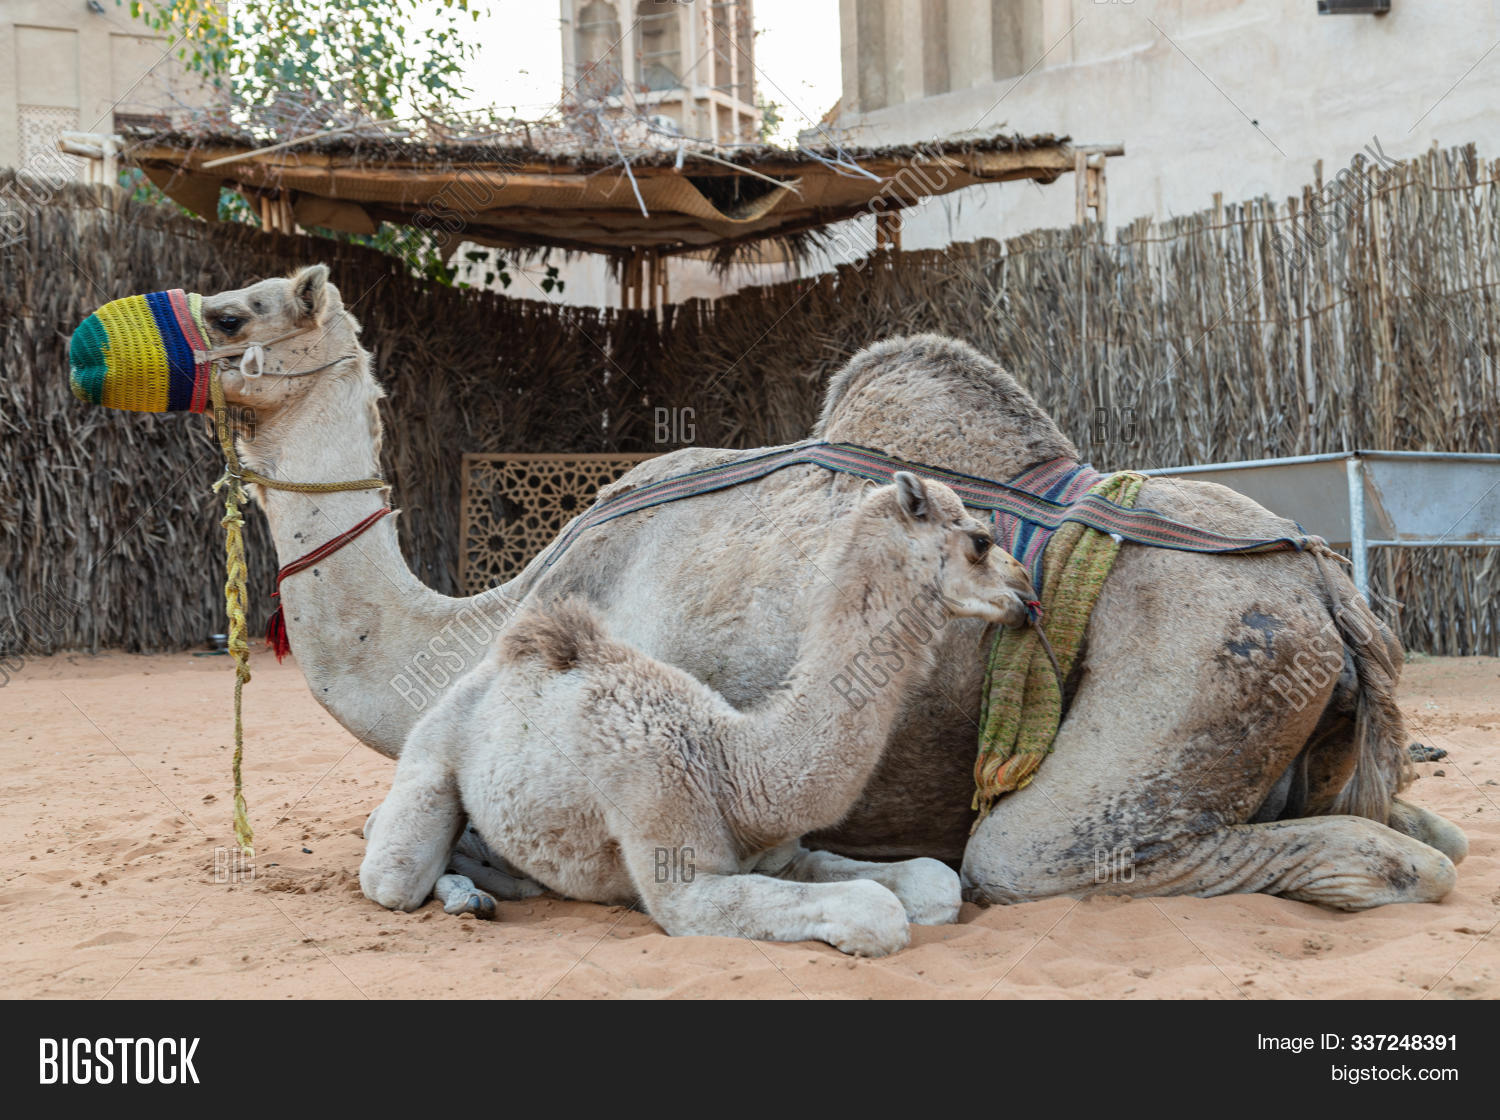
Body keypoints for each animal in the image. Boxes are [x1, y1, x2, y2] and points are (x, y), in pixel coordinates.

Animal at [360, 473, 1035, 954]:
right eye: (980, 542)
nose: (1027, 592)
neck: (734, 768)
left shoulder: (783, 854)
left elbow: (935, 882)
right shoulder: (679, 872)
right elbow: (876, 909)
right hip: (431, 755)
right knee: (390, 872)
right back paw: (462, 897)